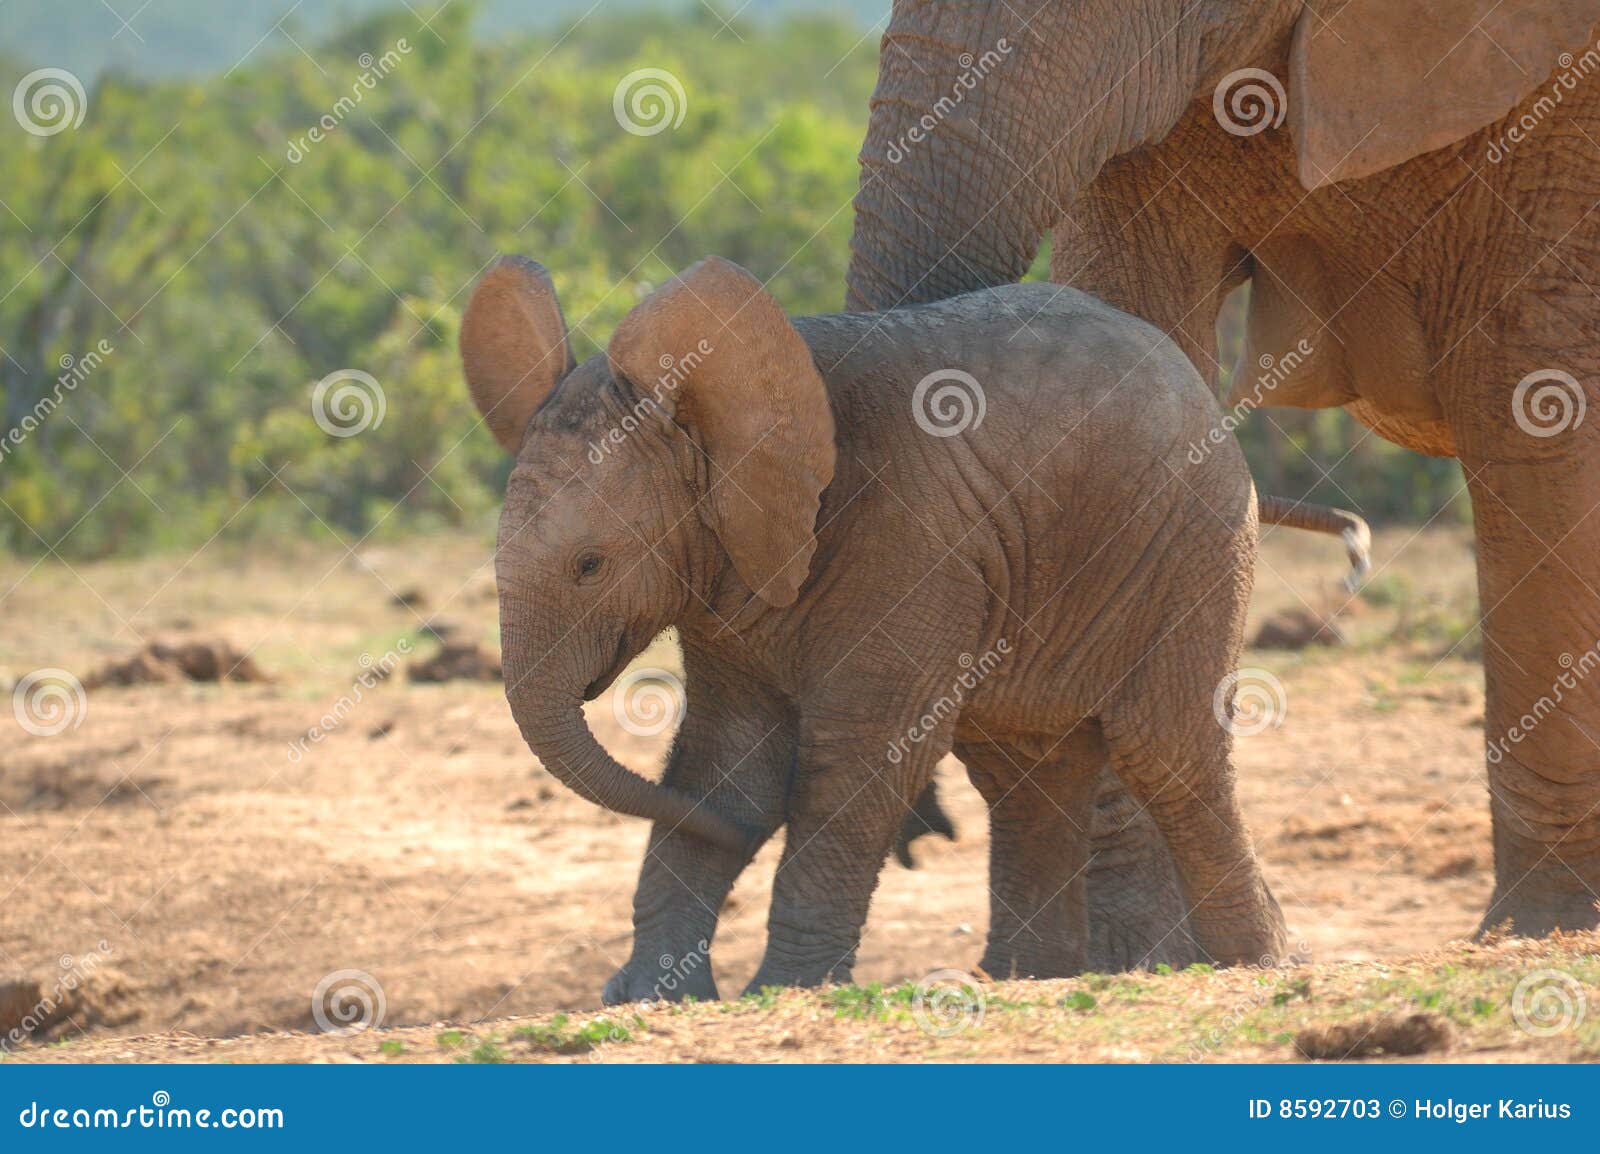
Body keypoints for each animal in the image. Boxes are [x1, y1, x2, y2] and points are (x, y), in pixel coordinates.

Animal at [461, 252, 1290, 999]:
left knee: (1168, 752)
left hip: (1188, 544)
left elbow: (860, 762)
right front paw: (645, 996)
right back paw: (1021, 977)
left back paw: (1255, 962)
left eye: (590, 565)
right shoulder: (733, 575)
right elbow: (726, 762)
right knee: (1026, 768)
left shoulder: (910, 543)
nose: (738, 837)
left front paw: (783, 989)